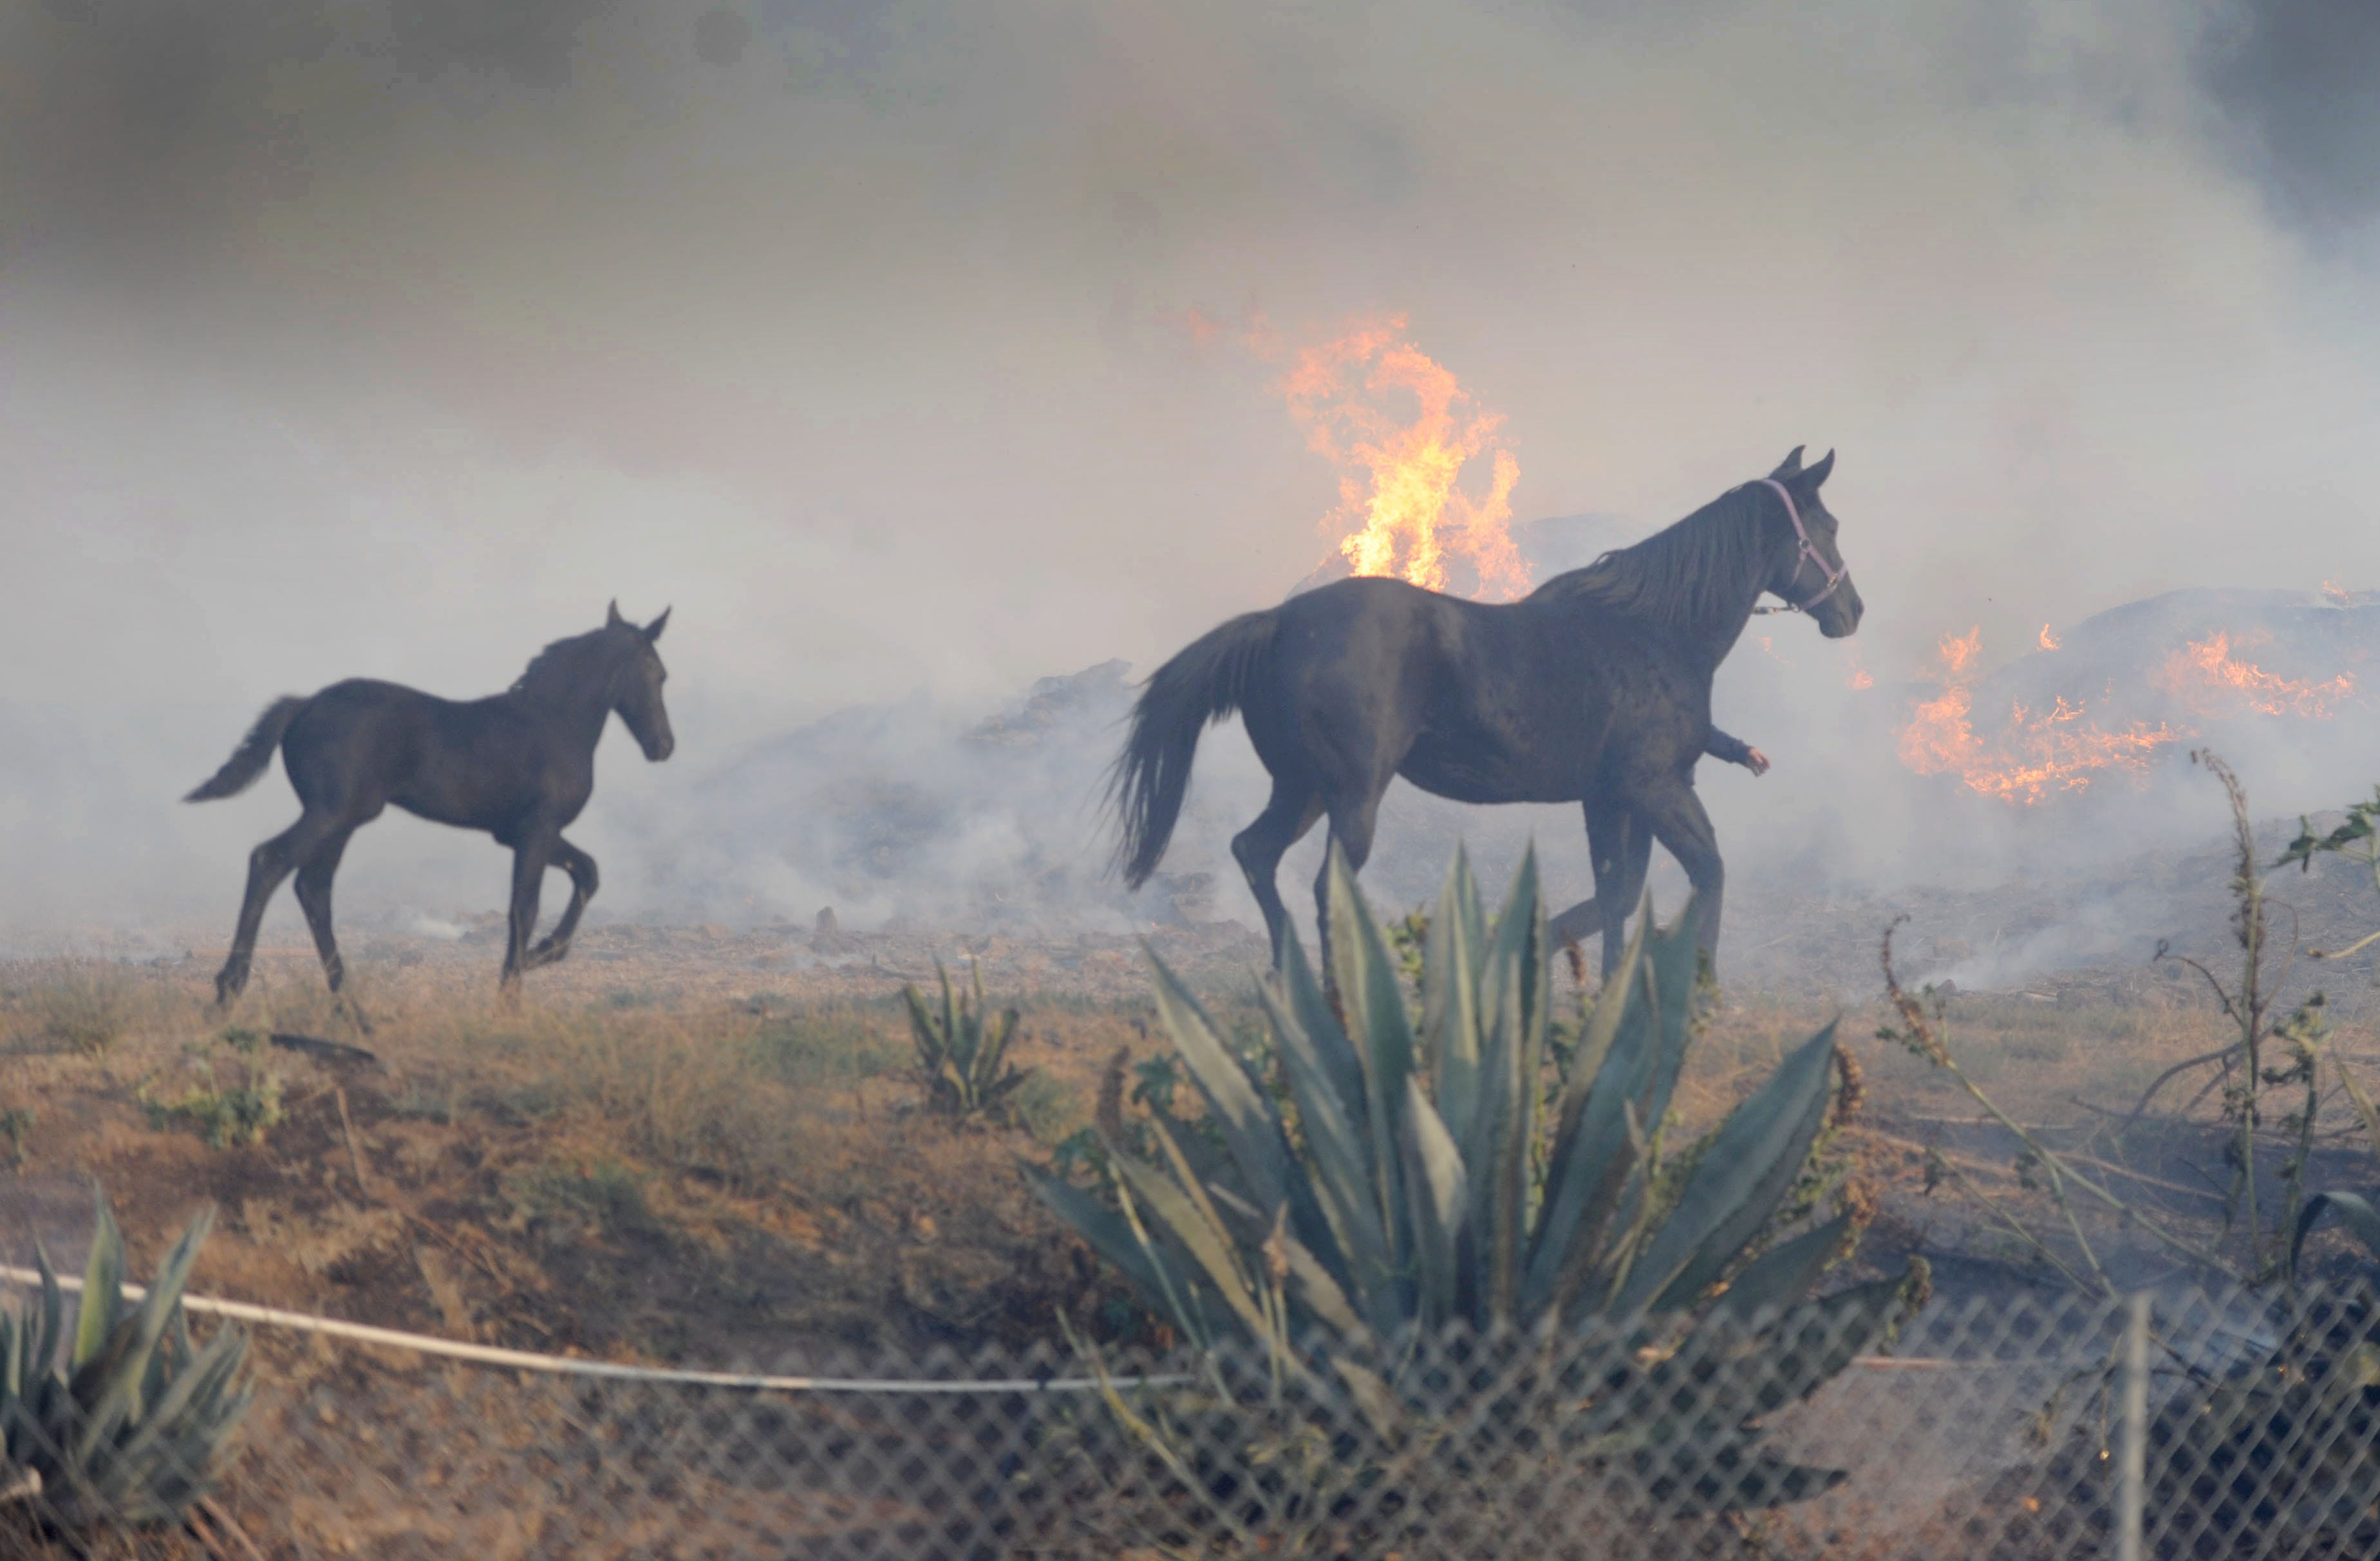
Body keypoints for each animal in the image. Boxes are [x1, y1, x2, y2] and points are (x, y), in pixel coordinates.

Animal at [185, 602, 675, 1005]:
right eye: (659, 673)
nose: (664, 746)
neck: (555, 721)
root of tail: (304, 706)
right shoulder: (537, 831)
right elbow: (525, 908)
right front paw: (510, 996)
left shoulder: (520, 834)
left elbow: (586, 873)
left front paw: (541, 955)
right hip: (332, 812)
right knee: (270, 860)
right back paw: (231, 986)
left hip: (344, 819)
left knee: (313, 888)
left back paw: (351, 1007)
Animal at [1111, 448, 1862, 978]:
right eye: (1826, 526)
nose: (1850, 611)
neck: (1652, 632)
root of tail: (1280, 622)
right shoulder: (1658, 789)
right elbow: (1705, 875)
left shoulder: (1611, 797)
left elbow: (1616, 896)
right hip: (1351, 796)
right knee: (1327, 888)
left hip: (1302, 790)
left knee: (1254, 853)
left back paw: (1287, 981)